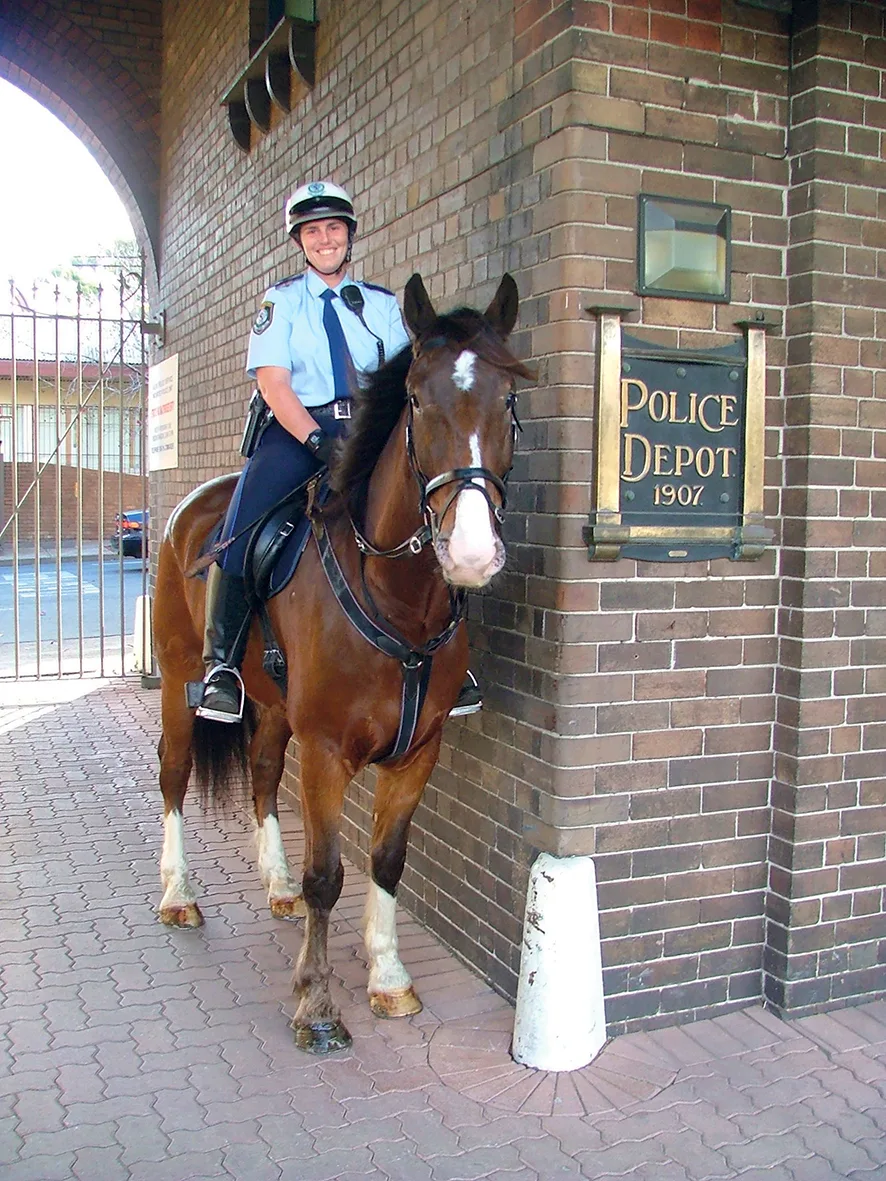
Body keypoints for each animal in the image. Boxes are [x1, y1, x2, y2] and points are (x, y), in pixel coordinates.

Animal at [152, 272, 534, 1054]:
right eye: (416, 398)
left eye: (508, 400)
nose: (471, 552)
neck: (397, 598)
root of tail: (195, 503)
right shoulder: (327, 750)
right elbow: (328, 873)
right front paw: (318, 1004)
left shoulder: (419, 749)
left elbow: (387, 859)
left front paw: (387, 977)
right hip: (178, 679)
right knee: (173, 775)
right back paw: (178, 894)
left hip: (270, 704)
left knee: (263, 773)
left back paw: (275, 887)